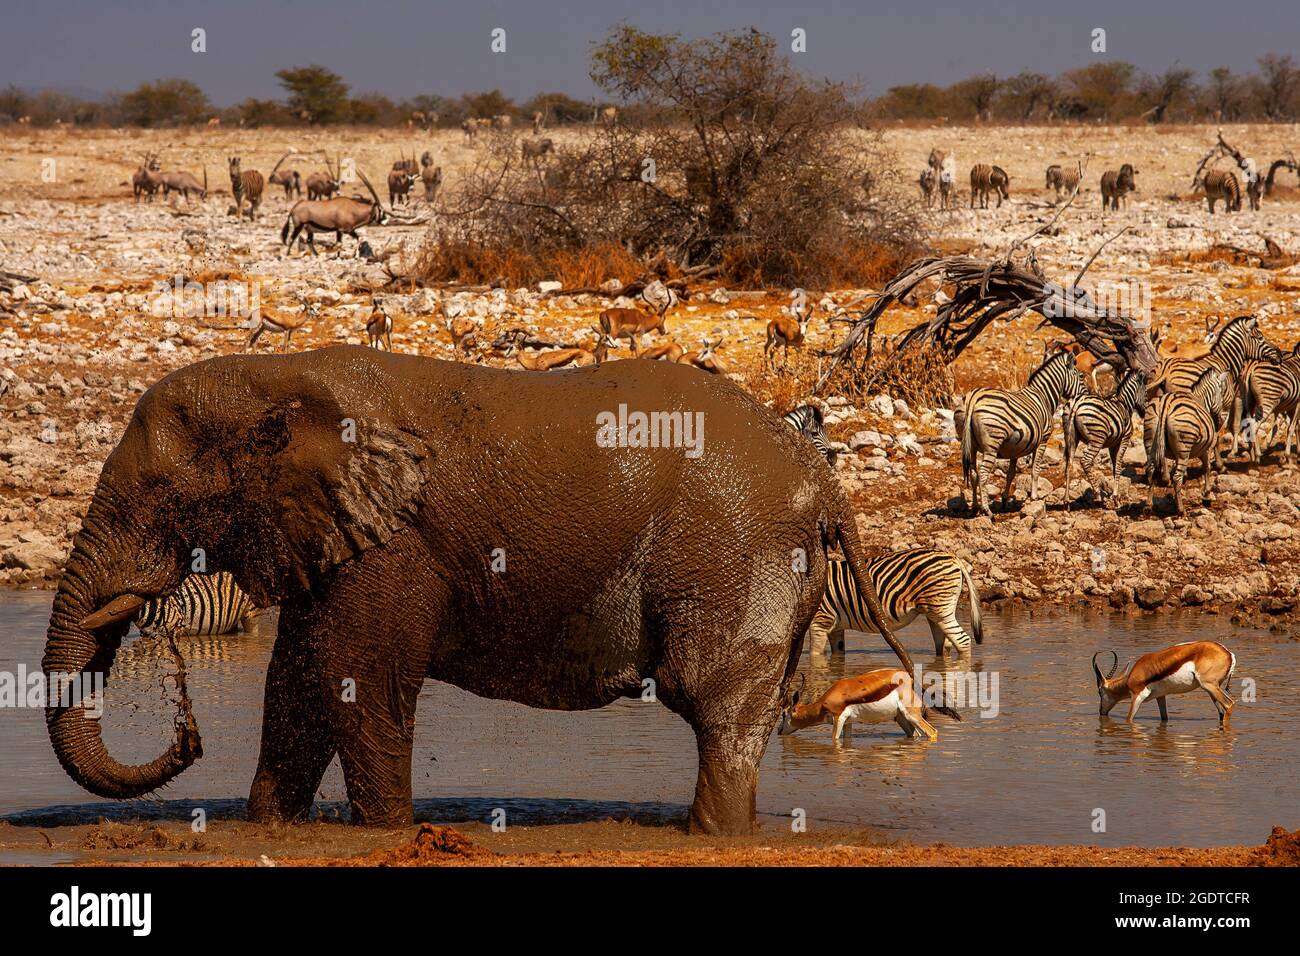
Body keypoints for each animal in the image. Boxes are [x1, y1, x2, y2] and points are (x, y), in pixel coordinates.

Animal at [43, 347, 915, 835]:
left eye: (161, 498)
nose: (188, 734)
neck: (280, 379)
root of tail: (820, 477)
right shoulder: (340, 538)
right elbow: (297, 687)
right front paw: (271, 831)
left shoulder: (395, 545)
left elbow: (357, 684)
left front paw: (386, 836)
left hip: (734, 549)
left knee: (719, 709)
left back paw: (711, 838)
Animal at [811, 548, 984, 658]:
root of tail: (953, 557)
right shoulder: (835, 627)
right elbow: (837, 653)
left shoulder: (820, 620)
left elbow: (815, 655)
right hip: (937, 612)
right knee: (945, 644)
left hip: (940, 610)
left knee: (963, 641)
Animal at [955, 349, 1087, 515]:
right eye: (1081, 376)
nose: (1086, 396)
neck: (1044, 396)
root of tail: (974, 398)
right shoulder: (1043, 440)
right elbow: (1035, 470)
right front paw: (1034, 497)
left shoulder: (1015, 448)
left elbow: (1011, 474)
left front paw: (1005, 501)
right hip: (992, 444)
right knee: (983, 473)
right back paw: (987, 510)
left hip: (969, 444)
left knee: (973, 473)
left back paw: (974, 508)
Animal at [1062, 366, 1148, 508]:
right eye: (1146, 392)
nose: (1144, 413)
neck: (1124, 404)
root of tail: (1076, 402)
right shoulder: (1124, 439)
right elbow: (1118, 465)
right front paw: (1116, 498)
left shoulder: (1113, 444)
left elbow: (1114, 467)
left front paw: (1115, 496)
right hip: (1097, 437)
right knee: (1085, 461)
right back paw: (1097, 495)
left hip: (1071, 436)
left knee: (1069, 463)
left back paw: (1067, 501)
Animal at [1144, 368, 1230, 515]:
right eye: (1221, 393)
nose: (1218, 422)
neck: (1201, 399)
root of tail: (1165, 405)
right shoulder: (1206, 448)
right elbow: (1207, 468)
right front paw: (1207, 495)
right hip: (1184, 447)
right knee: (1176, 477)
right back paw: (1181, 510)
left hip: (1150, 439)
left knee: (1151, 471)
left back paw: (1149, 506)